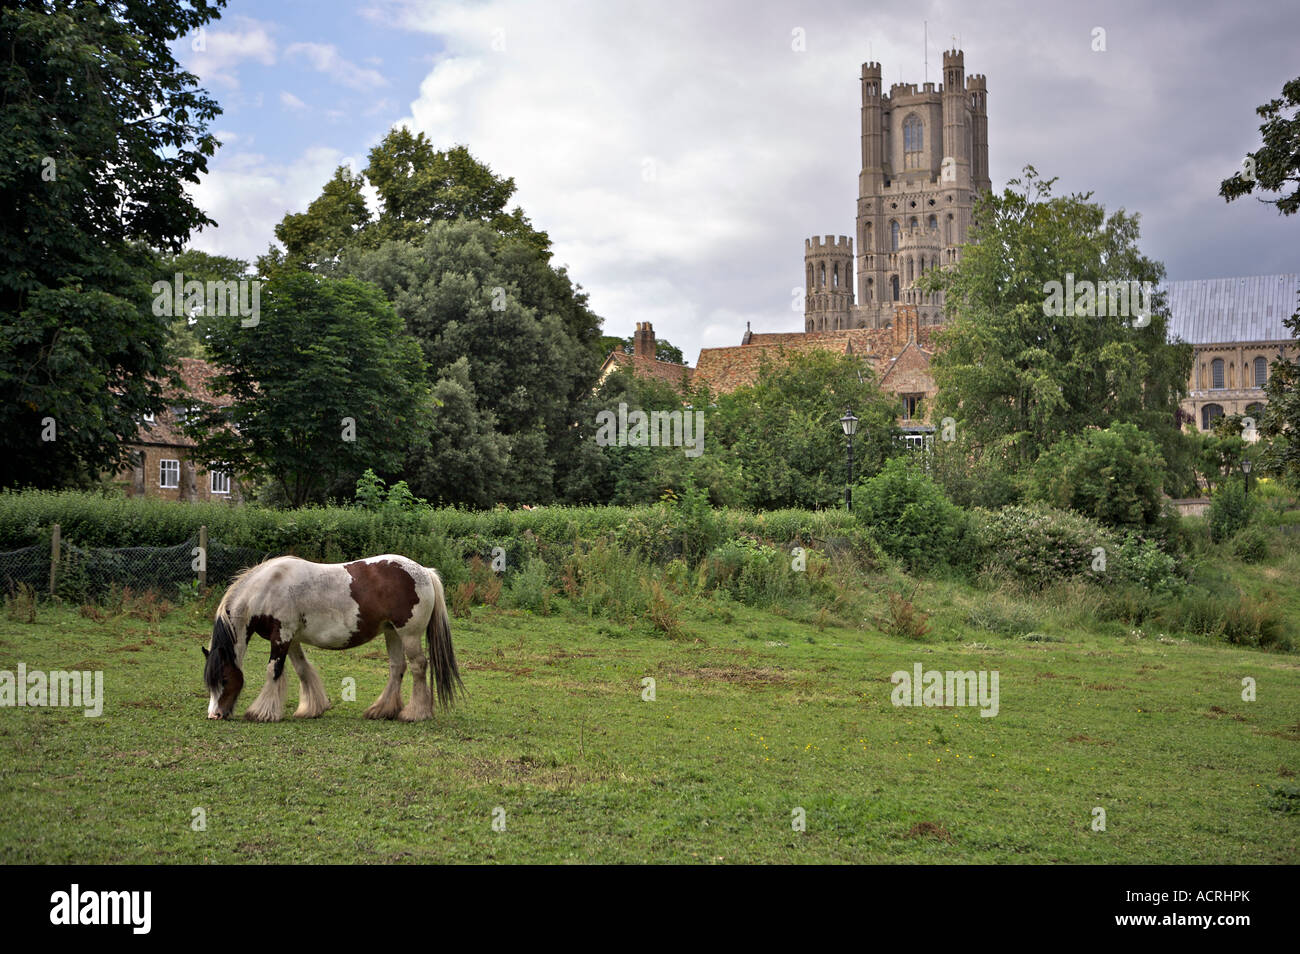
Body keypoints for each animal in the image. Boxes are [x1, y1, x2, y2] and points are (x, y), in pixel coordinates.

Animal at [202, 554, 463, 722]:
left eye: (224, 678)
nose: (215, 715)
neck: (267, 589)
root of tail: (425, 572)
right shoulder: (292, 639)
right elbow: (302, 670)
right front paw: (312, 708)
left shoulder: (281, 637)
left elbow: (273, 671)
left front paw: (261, 713)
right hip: (392, 633)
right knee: (397, 668)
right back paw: (381, 710)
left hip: (408, 634)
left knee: (418, 666)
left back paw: (414, 714)